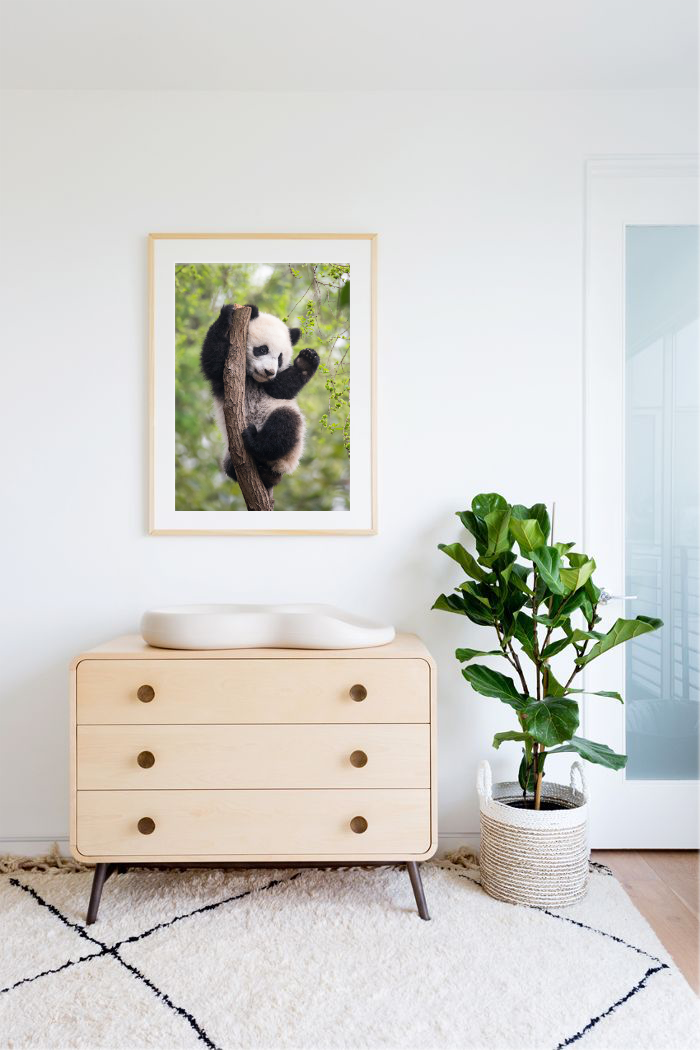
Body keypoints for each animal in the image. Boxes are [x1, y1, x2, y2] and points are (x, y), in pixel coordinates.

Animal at [200, 303, 320, 490]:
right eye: (262, 349)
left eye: (280, 358)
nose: (269, 372)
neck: (253, 378)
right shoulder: (226, 375)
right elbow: (213, 362)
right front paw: (226, 314)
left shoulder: (273, 385)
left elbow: (282, 389)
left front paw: (306, 361)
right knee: (230, 466)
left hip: (290, 447)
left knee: (284, 425)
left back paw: (255, 444)